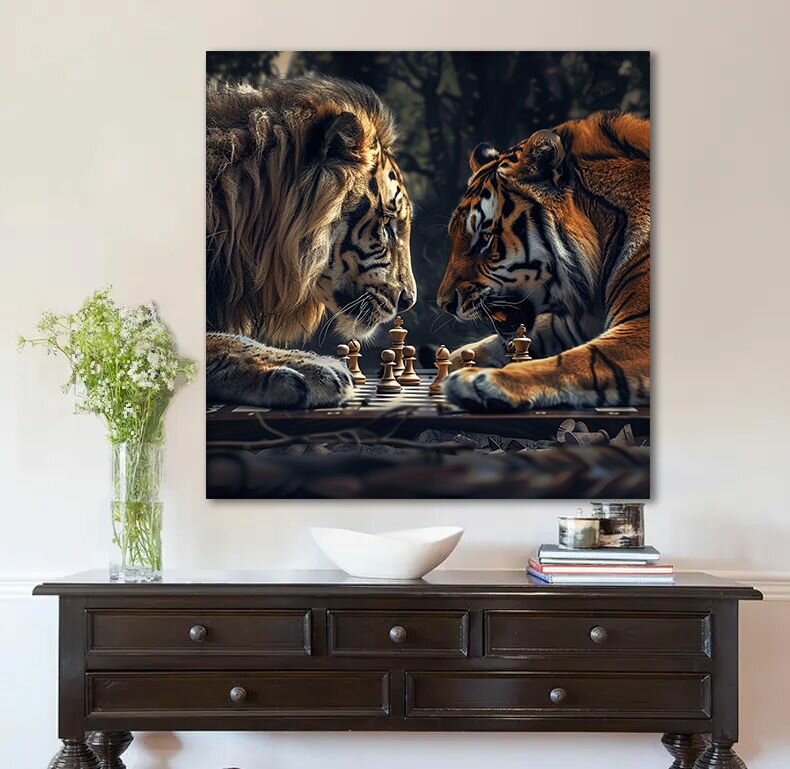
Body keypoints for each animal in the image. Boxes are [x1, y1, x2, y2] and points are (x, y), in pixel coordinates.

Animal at [437, 110, 650, 411]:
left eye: (485, 238)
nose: (444, 304)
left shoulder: (642, 327)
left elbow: (577, 359)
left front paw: (481, 379)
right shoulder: (565, 324)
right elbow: (480, 346)